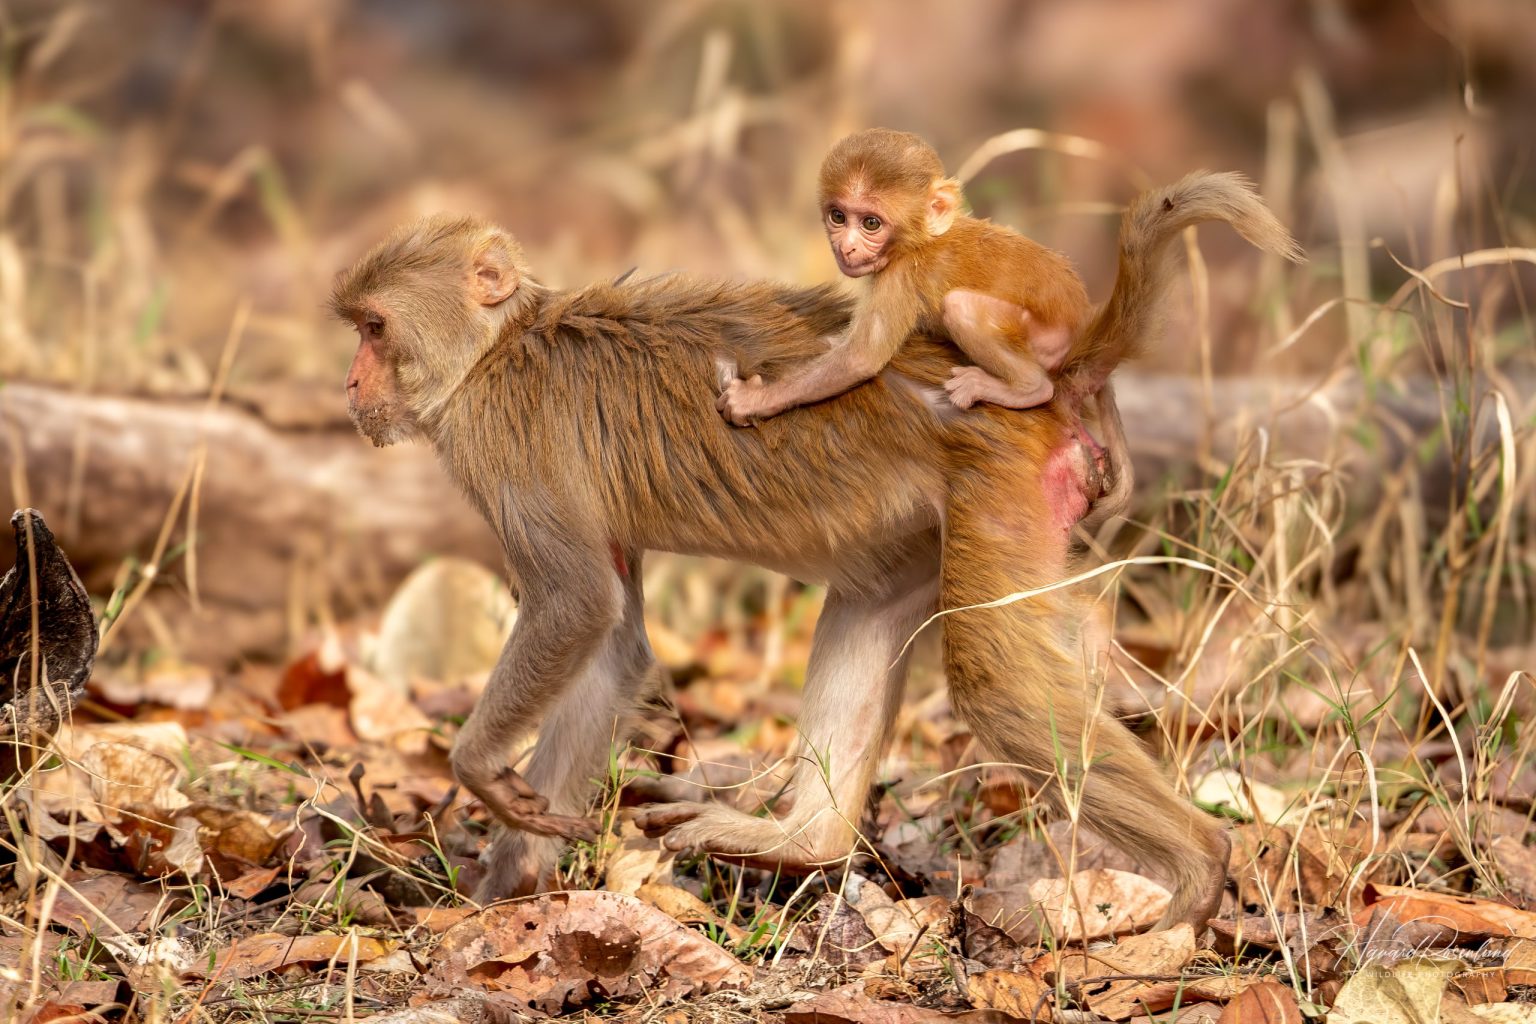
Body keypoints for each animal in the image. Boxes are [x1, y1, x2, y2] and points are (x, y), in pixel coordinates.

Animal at [330, 170, 1302, 930]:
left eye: (374, 328)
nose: (347, 382)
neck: (494, 351)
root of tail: (1057, 386)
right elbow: (609, 643)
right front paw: (504, 887)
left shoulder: (502, 445)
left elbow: (573, 606)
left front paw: (477, 774)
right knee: (873, 604)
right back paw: (801, 841)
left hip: (998, 484)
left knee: (996, 679)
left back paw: (1199, 869)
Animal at [718, 128, 1091, 427]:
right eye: (838, 216)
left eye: (871, 223)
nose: (847, 247)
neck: (918, 239)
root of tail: (1078, 318)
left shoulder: (900, 275)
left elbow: (861, 358)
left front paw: (755, 400)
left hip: (1045, 335)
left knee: (961, 307)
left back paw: (1028, 389)